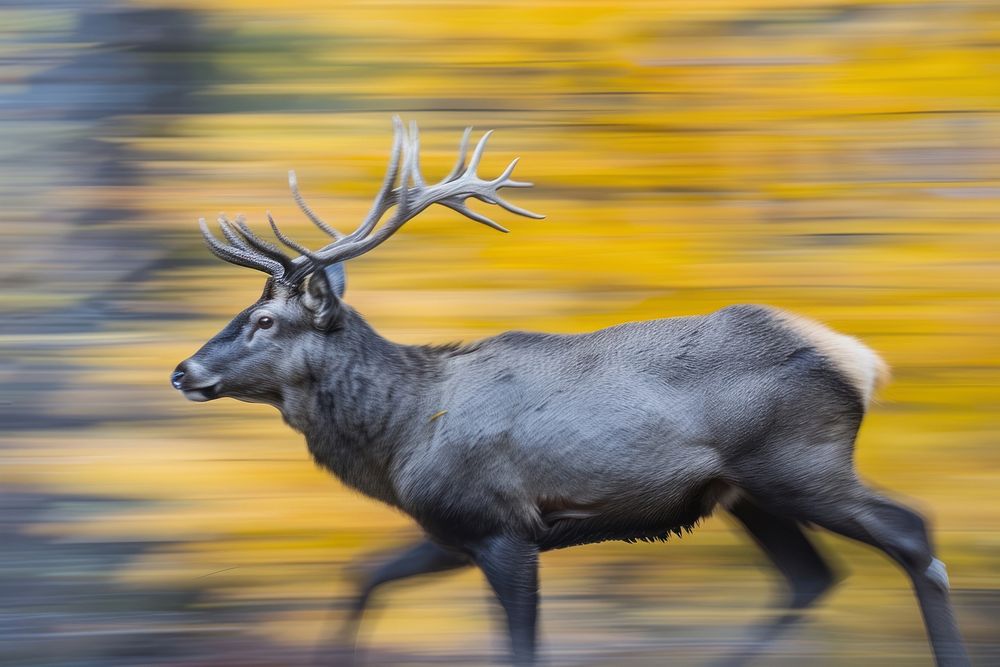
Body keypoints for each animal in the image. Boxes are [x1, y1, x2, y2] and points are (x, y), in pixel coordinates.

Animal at [172, 118, 969, 666]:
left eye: (265, 320)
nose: (183, 371)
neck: (402, 435)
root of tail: (861, 361)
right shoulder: (450, 530)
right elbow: (365, 575)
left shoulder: (500, 523)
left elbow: (521, 646)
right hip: (750, 493)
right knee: (810, 577)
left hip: (801, 463)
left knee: (911, 534)